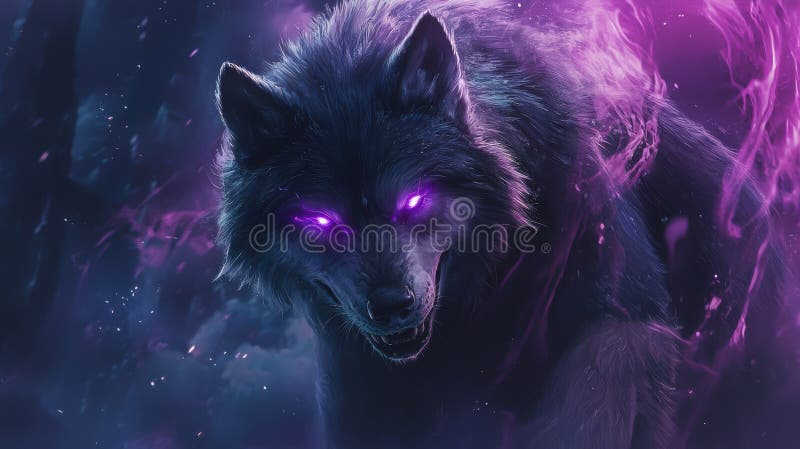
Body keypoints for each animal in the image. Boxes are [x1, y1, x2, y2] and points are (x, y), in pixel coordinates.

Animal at [215, 1, 789, 448]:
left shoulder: (623, 317)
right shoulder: (361, 382)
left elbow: (594, 398)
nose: (391, 305)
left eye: (413, 200)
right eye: (322, 218)